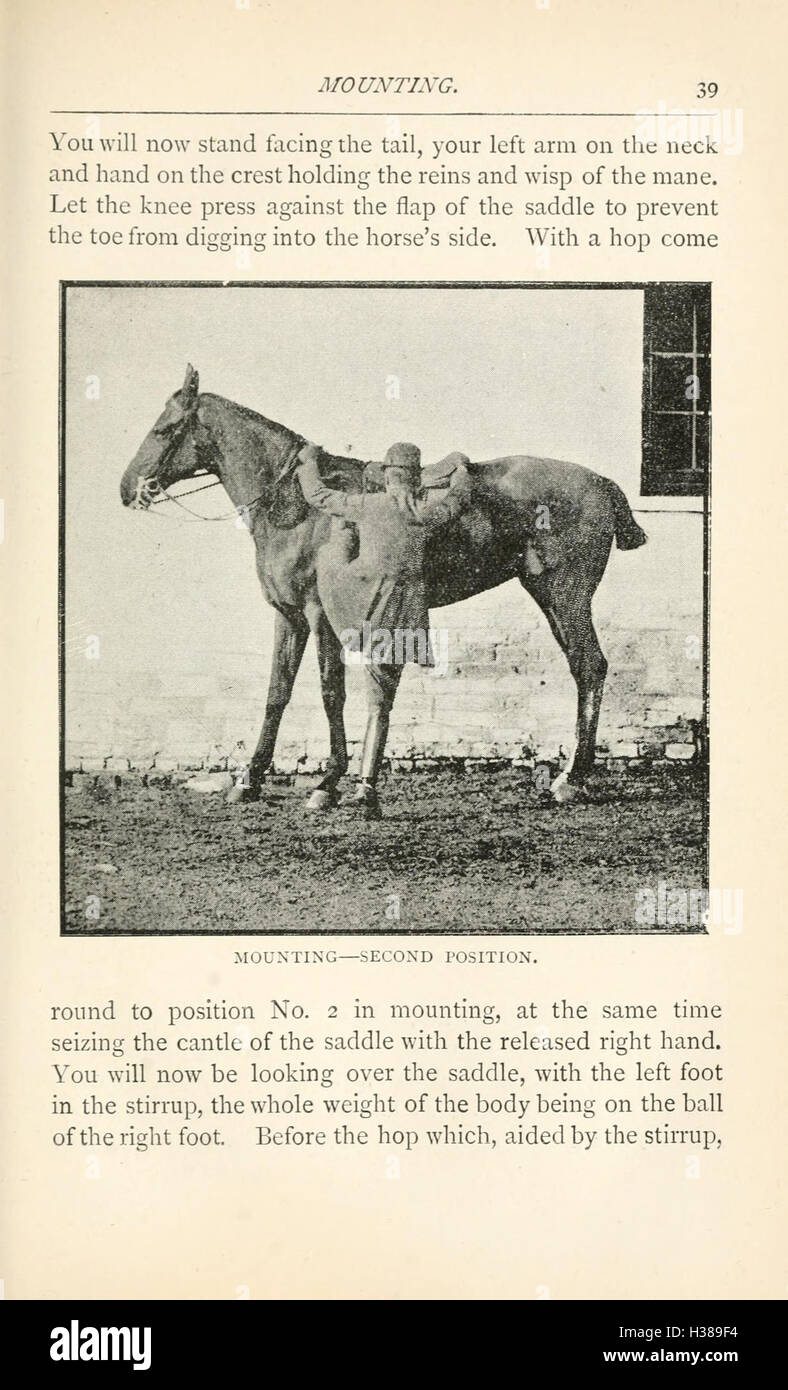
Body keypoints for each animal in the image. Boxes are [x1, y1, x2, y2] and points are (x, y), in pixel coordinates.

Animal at [119, 365, 646, 811]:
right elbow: (277, 692)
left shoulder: (320, 616)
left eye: (165, 429)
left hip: (566, 596)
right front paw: (249, 779)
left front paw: (328, 783)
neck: (298, 508)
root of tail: (601, 482)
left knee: (591, 667)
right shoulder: (288, 615)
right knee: (584, 667)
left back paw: (572, 779)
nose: (127, 489)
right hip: (550, 597)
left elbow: (331, 691)